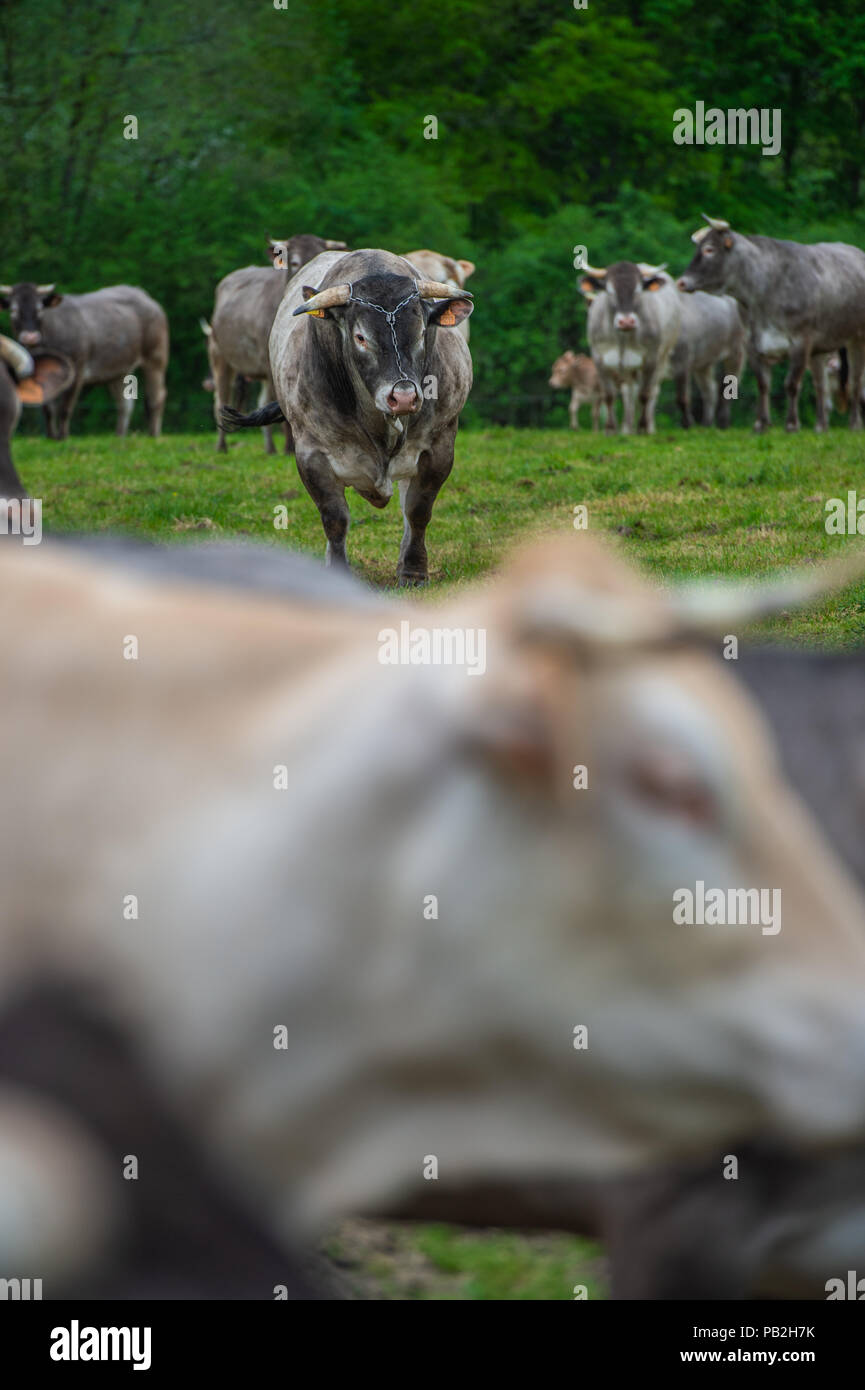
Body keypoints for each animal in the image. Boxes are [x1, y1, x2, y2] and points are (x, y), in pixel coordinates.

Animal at [0, 283, 168, 439]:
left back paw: (153, 435)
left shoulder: (78, 368)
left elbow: (65, 408)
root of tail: (145, 296)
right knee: (125, 404)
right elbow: (48, 409)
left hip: (155, 358)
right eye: (13, 310)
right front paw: (50, 437)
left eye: (40, 309)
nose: (30, 337)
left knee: (156, 398)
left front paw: (63, 437)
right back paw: (119, 436)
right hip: (119, 370)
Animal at [221, 249, 474, 584]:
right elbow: (335, 518)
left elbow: (417, 511)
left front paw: (413, 572)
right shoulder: (312, 456)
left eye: (422, 332)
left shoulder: (439, 447)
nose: (404, 396)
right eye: (360, 337)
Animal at [579, 262, 680, 434]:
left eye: (638, 290)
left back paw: (648, 426)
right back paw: (627, 428)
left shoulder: (651, 359)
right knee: (629, 393)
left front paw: (643, 427)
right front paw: (610, 429)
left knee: (652, 390)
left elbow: (645, 394)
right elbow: (609, 395)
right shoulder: (599, 358)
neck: (622, 338)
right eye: (610, 290)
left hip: (662, 357)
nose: (626, 322)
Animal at [670, 290, 745, 428]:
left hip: (736, 351)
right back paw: (706, 423)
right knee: (710, 390)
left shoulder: (684, 360)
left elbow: (682, 398)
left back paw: (723, 422)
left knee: (728, 385)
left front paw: (687, 424)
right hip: (704, 362)